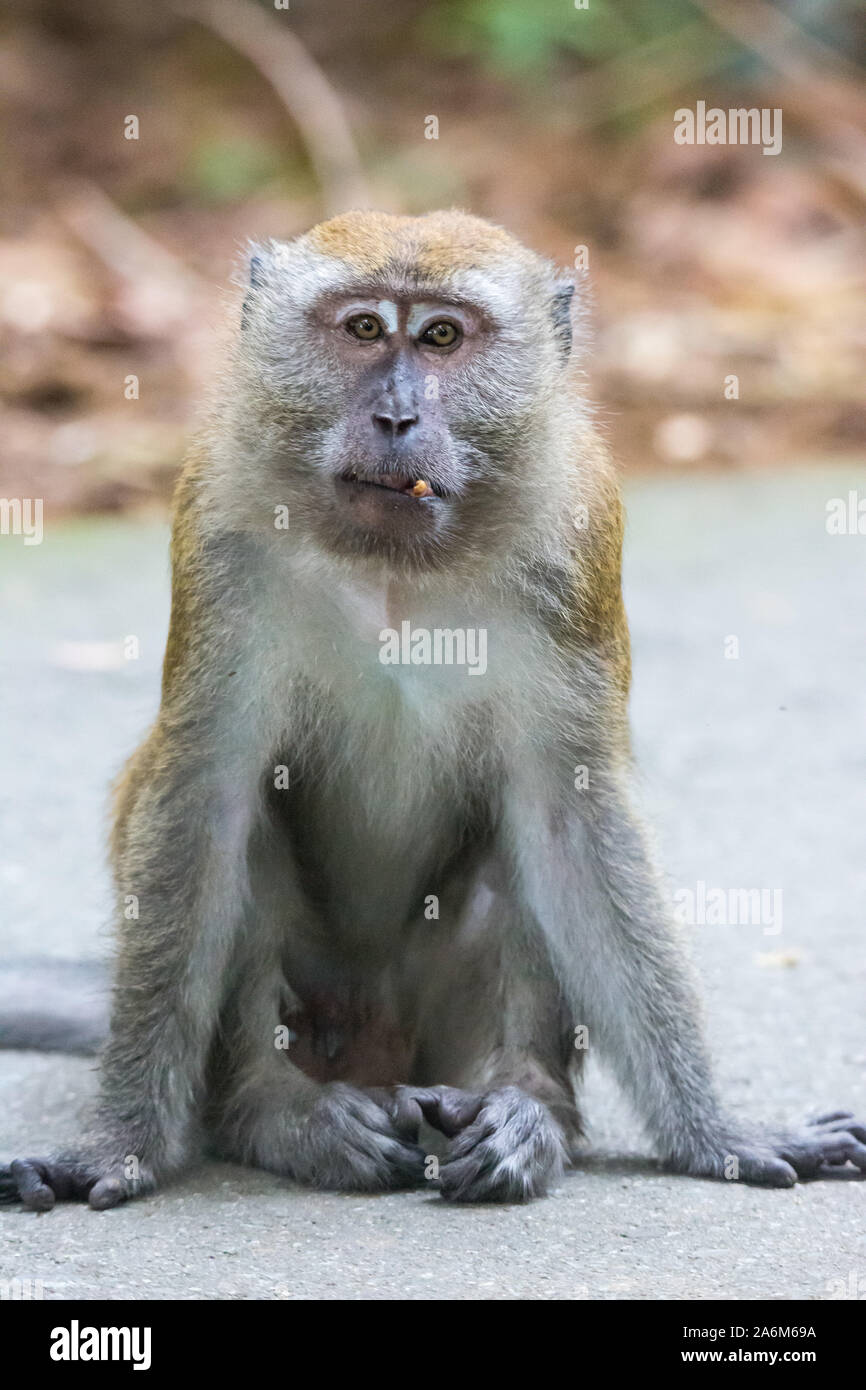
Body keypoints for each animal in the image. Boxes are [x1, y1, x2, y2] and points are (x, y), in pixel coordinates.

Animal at [2, 209, 864, 1210]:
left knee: (521, 851)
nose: (396, 417)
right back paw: (279, 1109)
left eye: (443, 336)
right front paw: (121, 1143)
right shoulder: (219, 522)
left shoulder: (578, 531)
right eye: (365, 329)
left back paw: (522, 1107)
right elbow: (202, 798)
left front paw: (718, 1134)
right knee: (248, 829)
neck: (396, 565)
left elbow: (573, 815)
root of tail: (379, 1054)